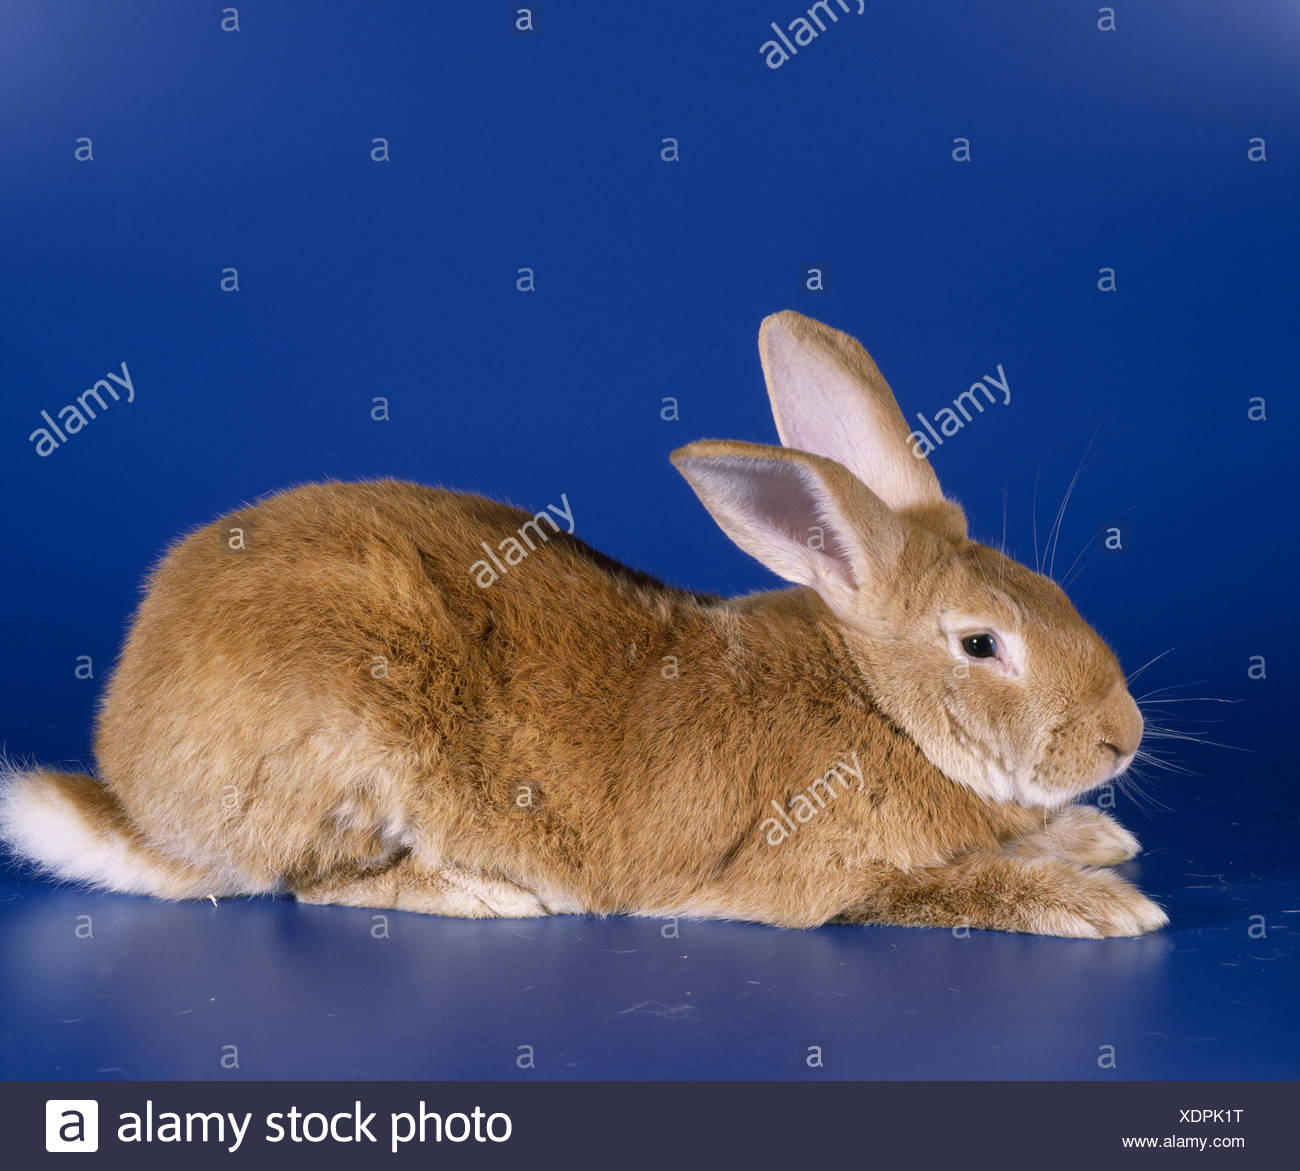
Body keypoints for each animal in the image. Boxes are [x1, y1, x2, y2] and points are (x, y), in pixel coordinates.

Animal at [0, 311, 1166, 937]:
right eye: (981, 644)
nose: (1124, 738)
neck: (884, 706)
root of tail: (136, 793)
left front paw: (1101, 839)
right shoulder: (827, 875)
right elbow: (957, 884)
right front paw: (1102, 903)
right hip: (357, 732)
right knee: (315, 884)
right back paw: (493, 898)